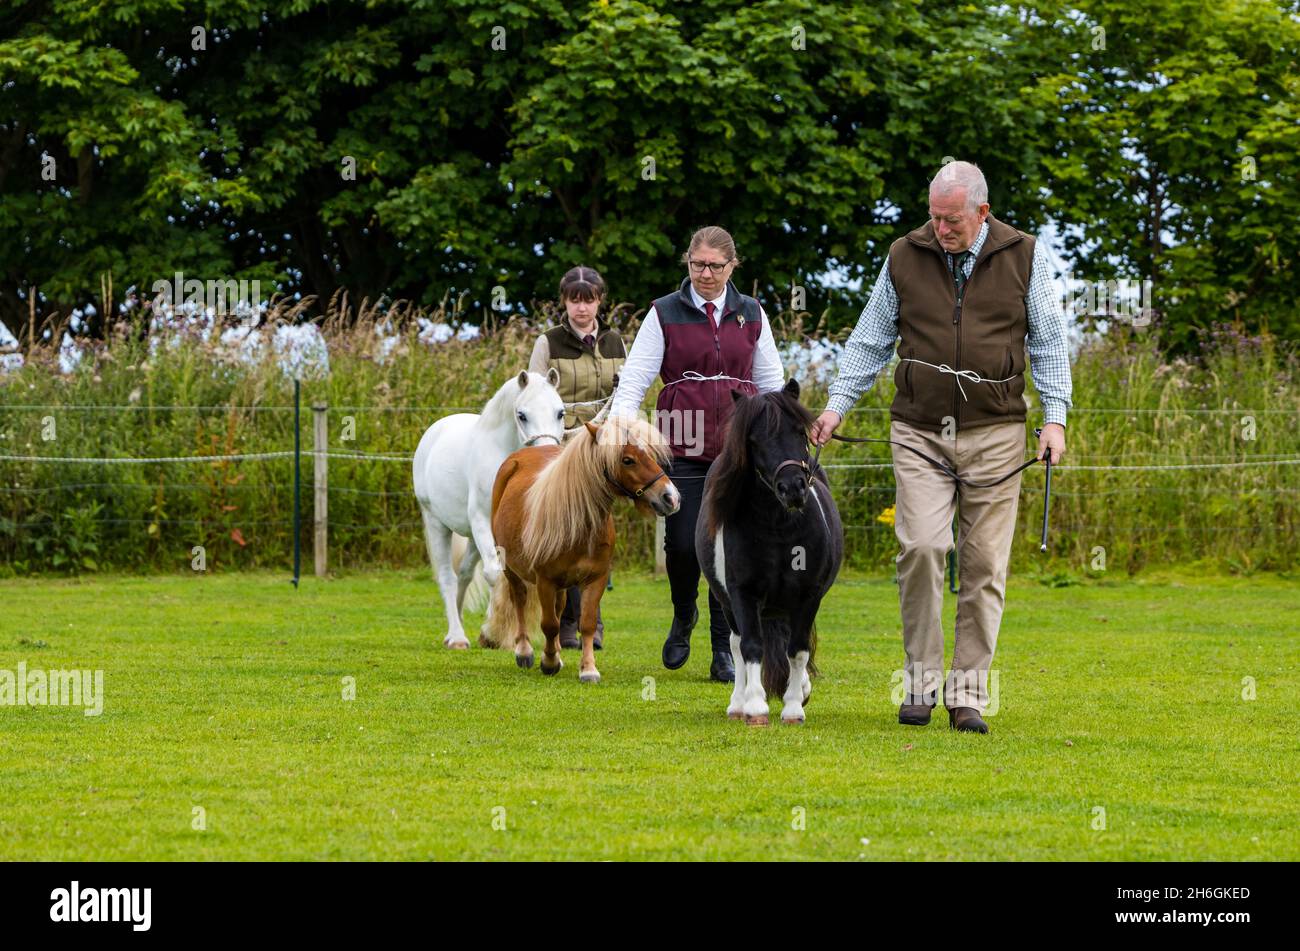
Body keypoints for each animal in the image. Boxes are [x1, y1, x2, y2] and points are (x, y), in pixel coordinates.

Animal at [412, 369, 566, 649]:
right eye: (521, 415)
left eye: (560, 412)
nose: (547, 457)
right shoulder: (482, 521)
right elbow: (495, 575)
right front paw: (493, 633)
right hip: (437, 523)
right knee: (448, 577)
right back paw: (456, 637)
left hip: (473, 539)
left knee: (463, 575)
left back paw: (457, 623)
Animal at [484, 416, 680, 683]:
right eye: (627, 460)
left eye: (649, 454)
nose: (671, 498)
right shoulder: (545, 581)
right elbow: (549, 624)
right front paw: (548, 662)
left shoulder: (595, 579)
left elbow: (585, 623)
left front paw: (587, 668)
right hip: (511, 569)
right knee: (520, 601)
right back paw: (525, 651)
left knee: (557, 607)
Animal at [696, 378, 844, 725]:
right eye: (753, 440)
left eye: (800, 432)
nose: (793, 488)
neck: (778, 529)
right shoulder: (743, 594)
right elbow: (751, 646)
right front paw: (755, 706)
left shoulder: (808, 596)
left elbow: (798, 649)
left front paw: (793, 706)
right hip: (727, 603)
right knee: (736, 644)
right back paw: (738, 704)